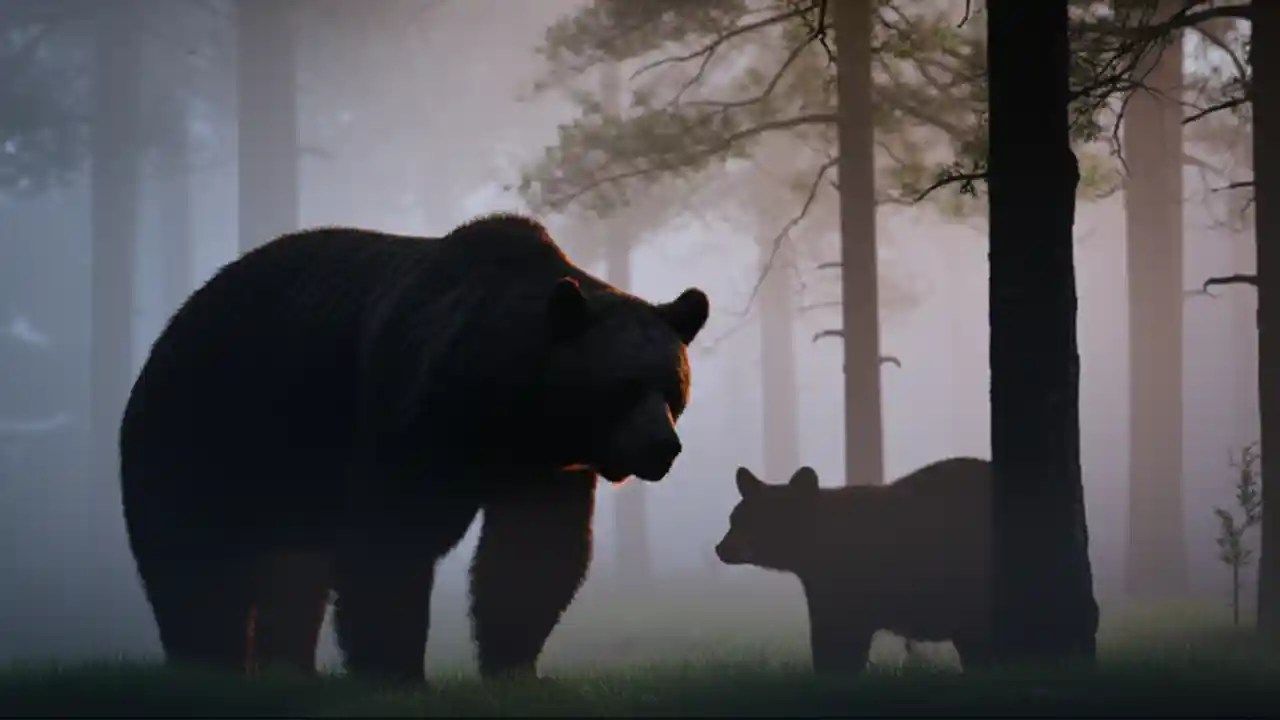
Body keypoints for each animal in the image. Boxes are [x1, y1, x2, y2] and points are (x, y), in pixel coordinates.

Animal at [118, 212, 709, 683]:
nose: (662, 447)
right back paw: (208, 661)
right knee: (191, 551)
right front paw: (395, 670)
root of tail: (168, 330)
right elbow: (391, 538)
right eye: (624, 386)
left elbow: (533, 552)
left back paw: (287, 666)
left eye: (672, 388)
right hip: (204, 425)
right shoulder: (408, 413)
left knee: (292, 571)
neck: (510, 404)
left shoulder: (543, 464)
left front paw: (516, 668)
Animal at [714, 459, 993, 675]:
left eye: (756, 519)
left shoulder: (850, 585)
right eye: (734, 518)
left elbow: (841, 641)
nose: (722, 548)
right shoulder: (822, 588)